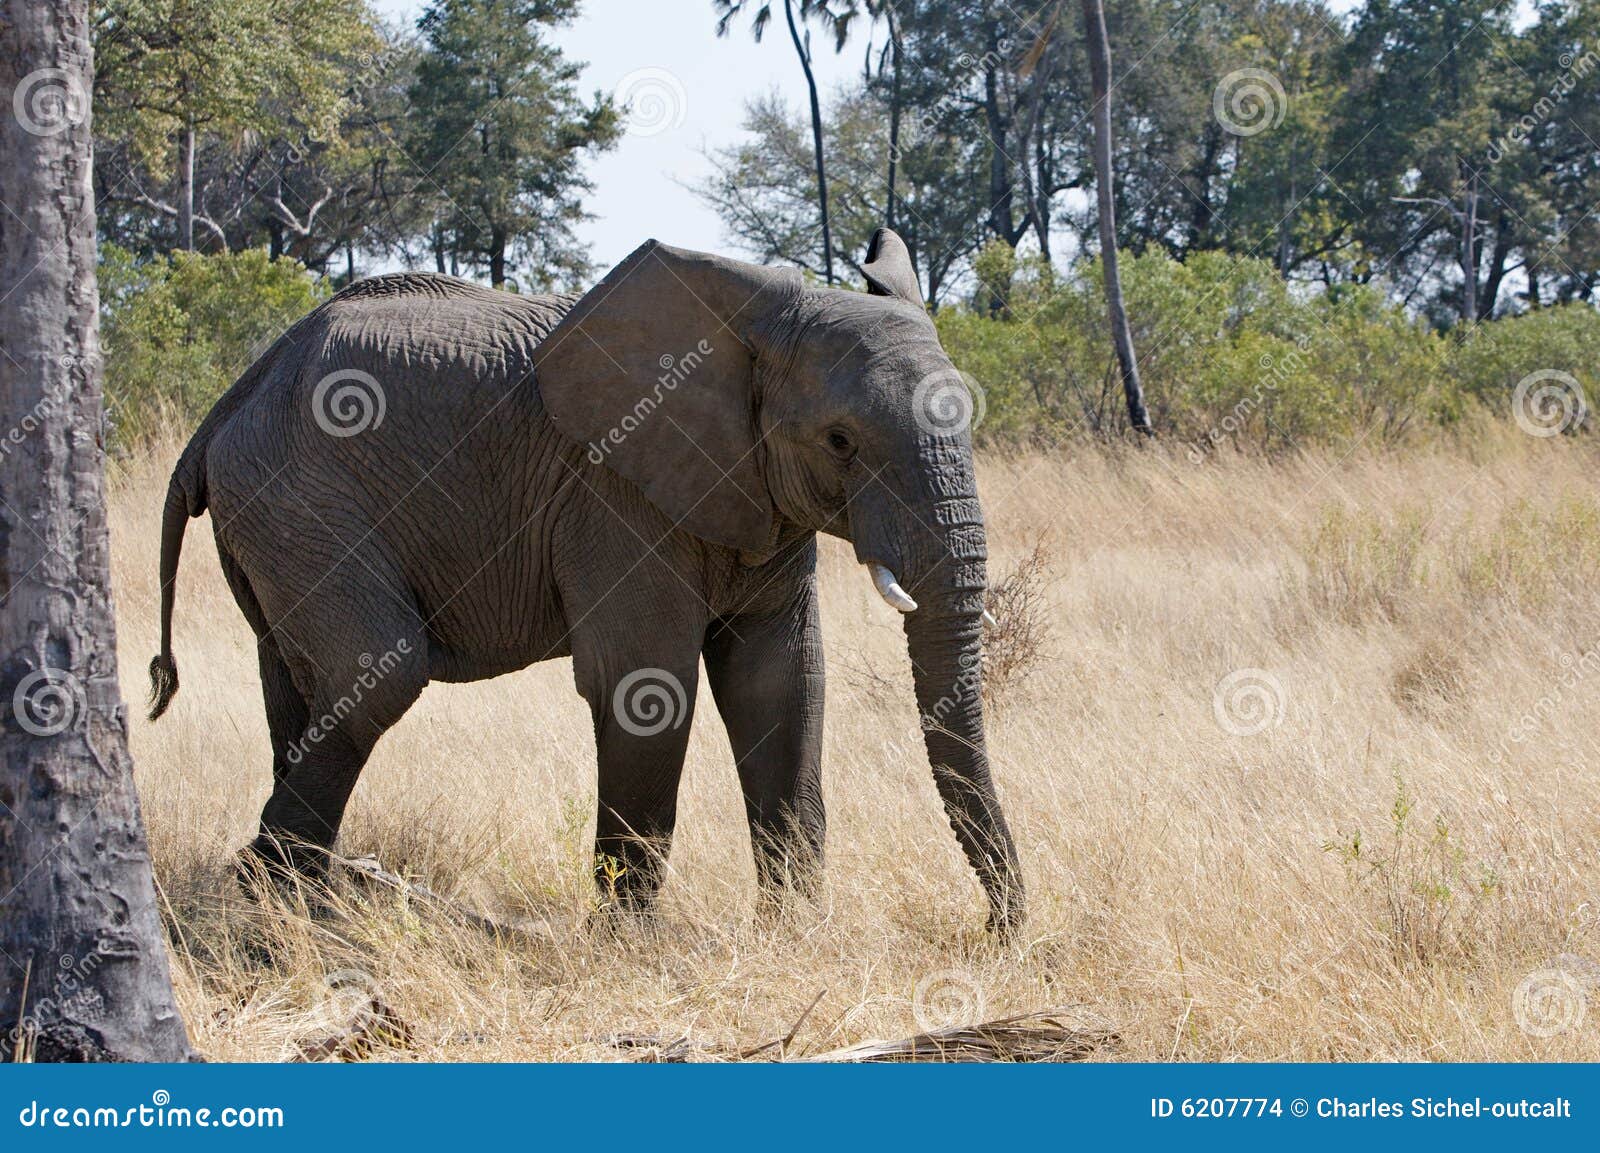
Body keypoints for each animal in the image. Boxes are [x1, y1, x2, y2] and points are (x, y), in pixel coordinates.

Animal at [148, 227, 1024, 935]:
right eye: (840, 441)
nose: (992, 930)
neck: (737, 330)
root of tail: (235, 396)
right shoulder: (611, 493)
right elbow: (649, 684)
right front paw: (633, 945)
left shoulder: (760, 500)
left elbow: (782, 682)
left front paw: (793, 934)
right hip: (299, 496)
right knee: (379, 671)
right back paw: (270, 897)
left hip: (274, 511)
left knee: (301, 687)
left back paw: (298, 903)